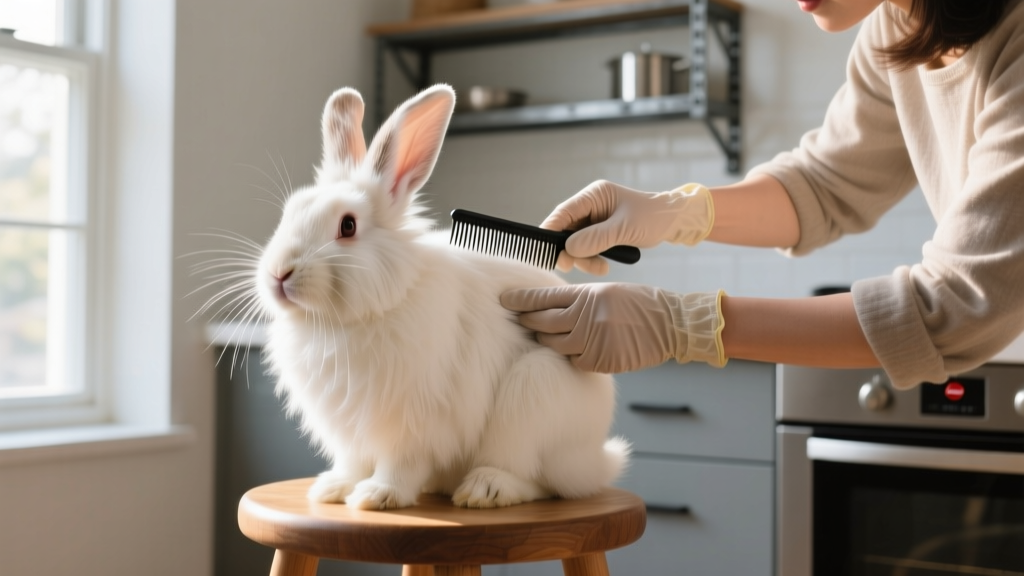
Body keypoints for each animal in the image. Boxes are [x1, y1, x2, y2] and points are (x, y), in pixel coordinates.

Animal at [253, 83, 628, 510]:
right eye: (290, 212)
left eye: (347, 226)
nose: (278, 273)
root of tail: (596, 461)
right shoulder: (350, 430)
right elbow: (353, 462)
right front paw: (333, 488)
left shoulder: (413, 423)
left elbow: (401, 463)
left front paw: (377, 495)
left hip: (534, 396)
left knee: (537, 482)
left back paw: (484, 489)